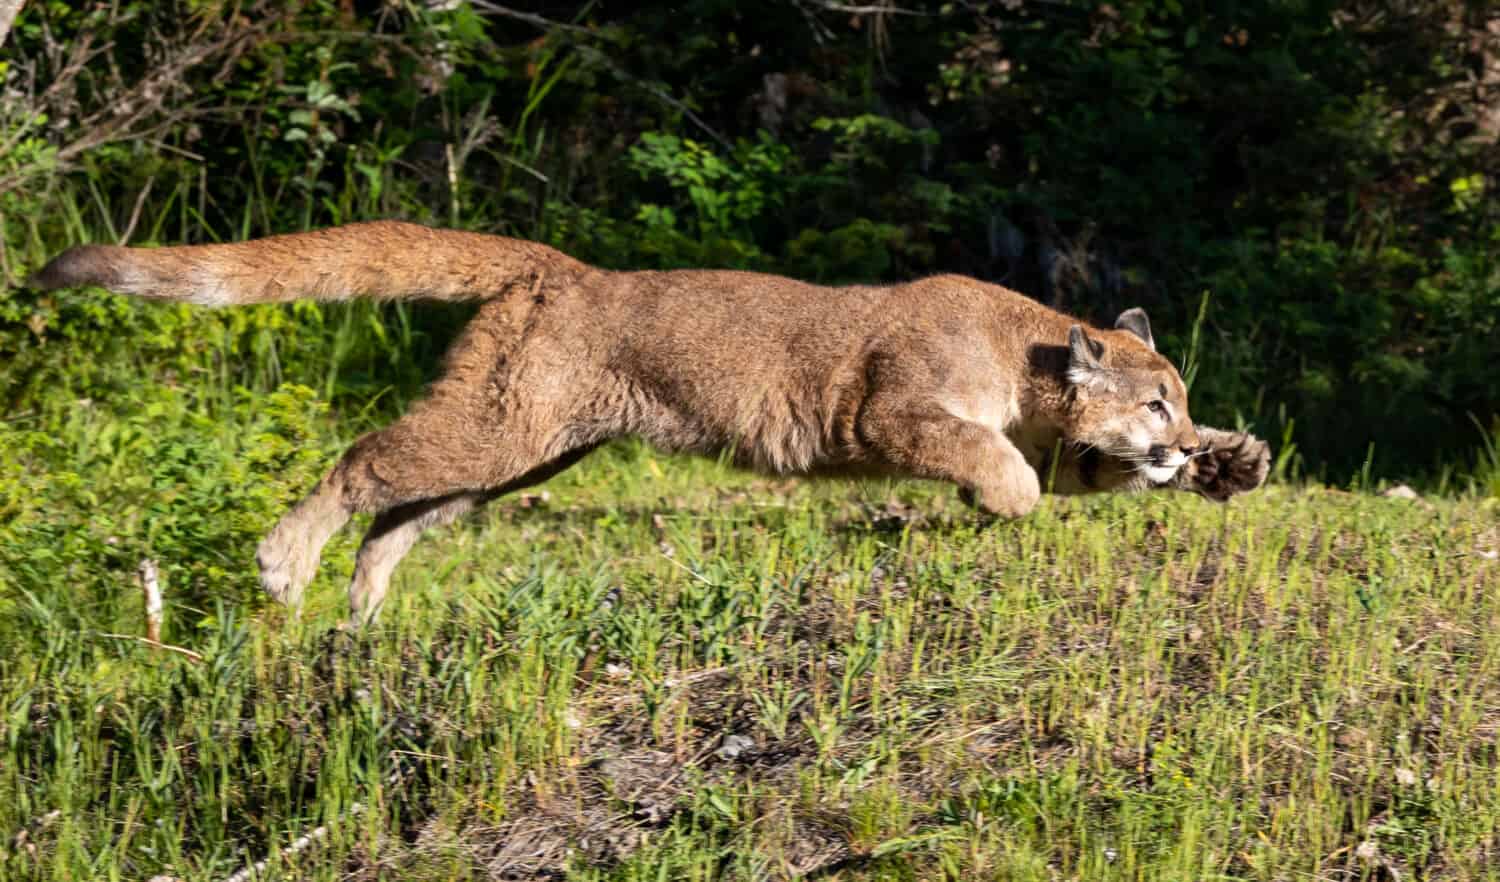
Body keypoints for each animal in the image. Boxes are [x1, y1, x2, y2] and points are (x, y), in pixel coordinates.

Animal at [32, 221, 1270, 623]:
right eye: (1155, 396)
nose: (1177, 432)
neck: (1027, 352)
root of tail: (558, 267)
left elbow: (1080, 470)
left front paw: (1233, 463)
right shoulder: (888, 409)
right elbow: (983, 453)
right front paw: (1009, 499)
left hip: (524, 445)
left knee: (405, 510)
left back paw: (365, 612)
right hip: (502, 430)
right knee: (366, 461)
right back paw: (287, 567)